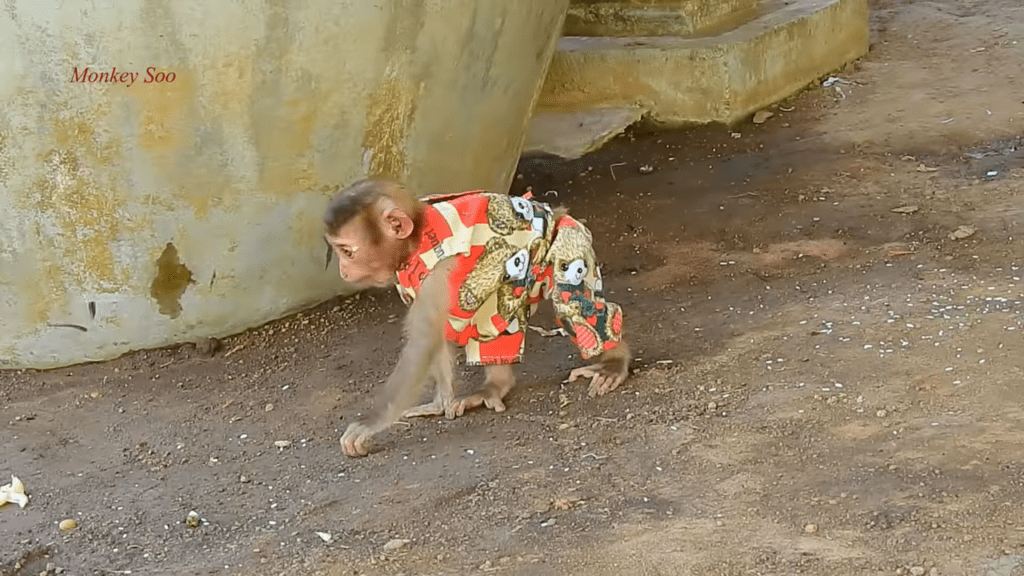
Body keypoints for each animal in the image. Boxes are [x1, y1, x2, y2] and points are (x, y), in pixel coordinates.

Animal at [323, 178, 631, 457]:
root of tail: (556, 211)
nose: (343, 271)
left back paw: (613, 361)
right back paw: (496, 386)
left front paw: (369, 424)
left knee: (574, 302)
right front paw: (440, 403)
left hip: (569, 245)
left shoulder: (438, 273)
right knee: (495, 318)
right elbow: (438, 333)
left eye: (347, 251)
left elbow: (424, 340)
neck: (416, 242)